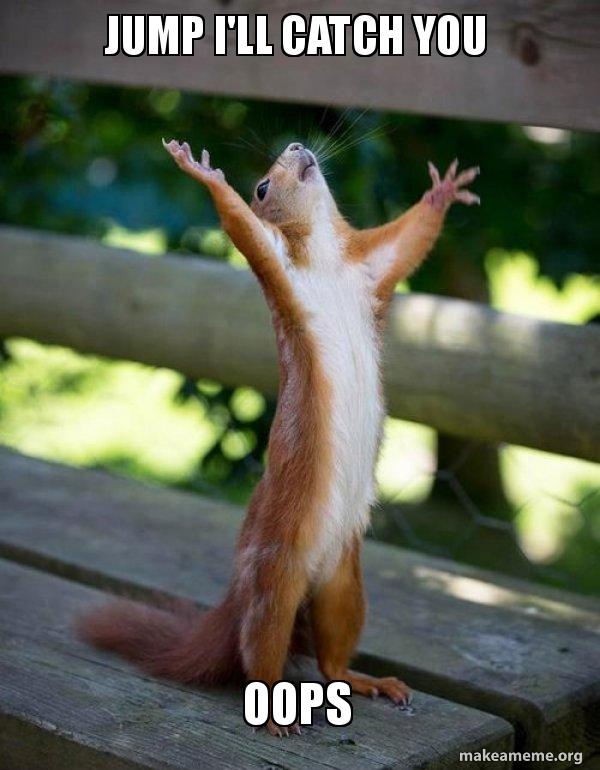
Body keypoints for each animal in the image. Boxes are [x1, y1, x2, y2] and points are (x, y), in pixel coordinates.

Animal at [79, 138, 479, 737]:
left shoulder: (371, 267)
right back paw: (274, 711)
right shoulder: (278, 266)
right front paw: (204, 174)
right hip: (275, 577)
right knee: (259, 650)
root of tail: (238, 595)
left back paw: (366, 680)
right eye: (262, 187)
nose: (296, 146)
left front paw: (443, 191)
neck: (327, 258)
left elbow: (408, 241)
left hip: (344, 584)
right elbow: (242, 227)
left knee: (332, 656)